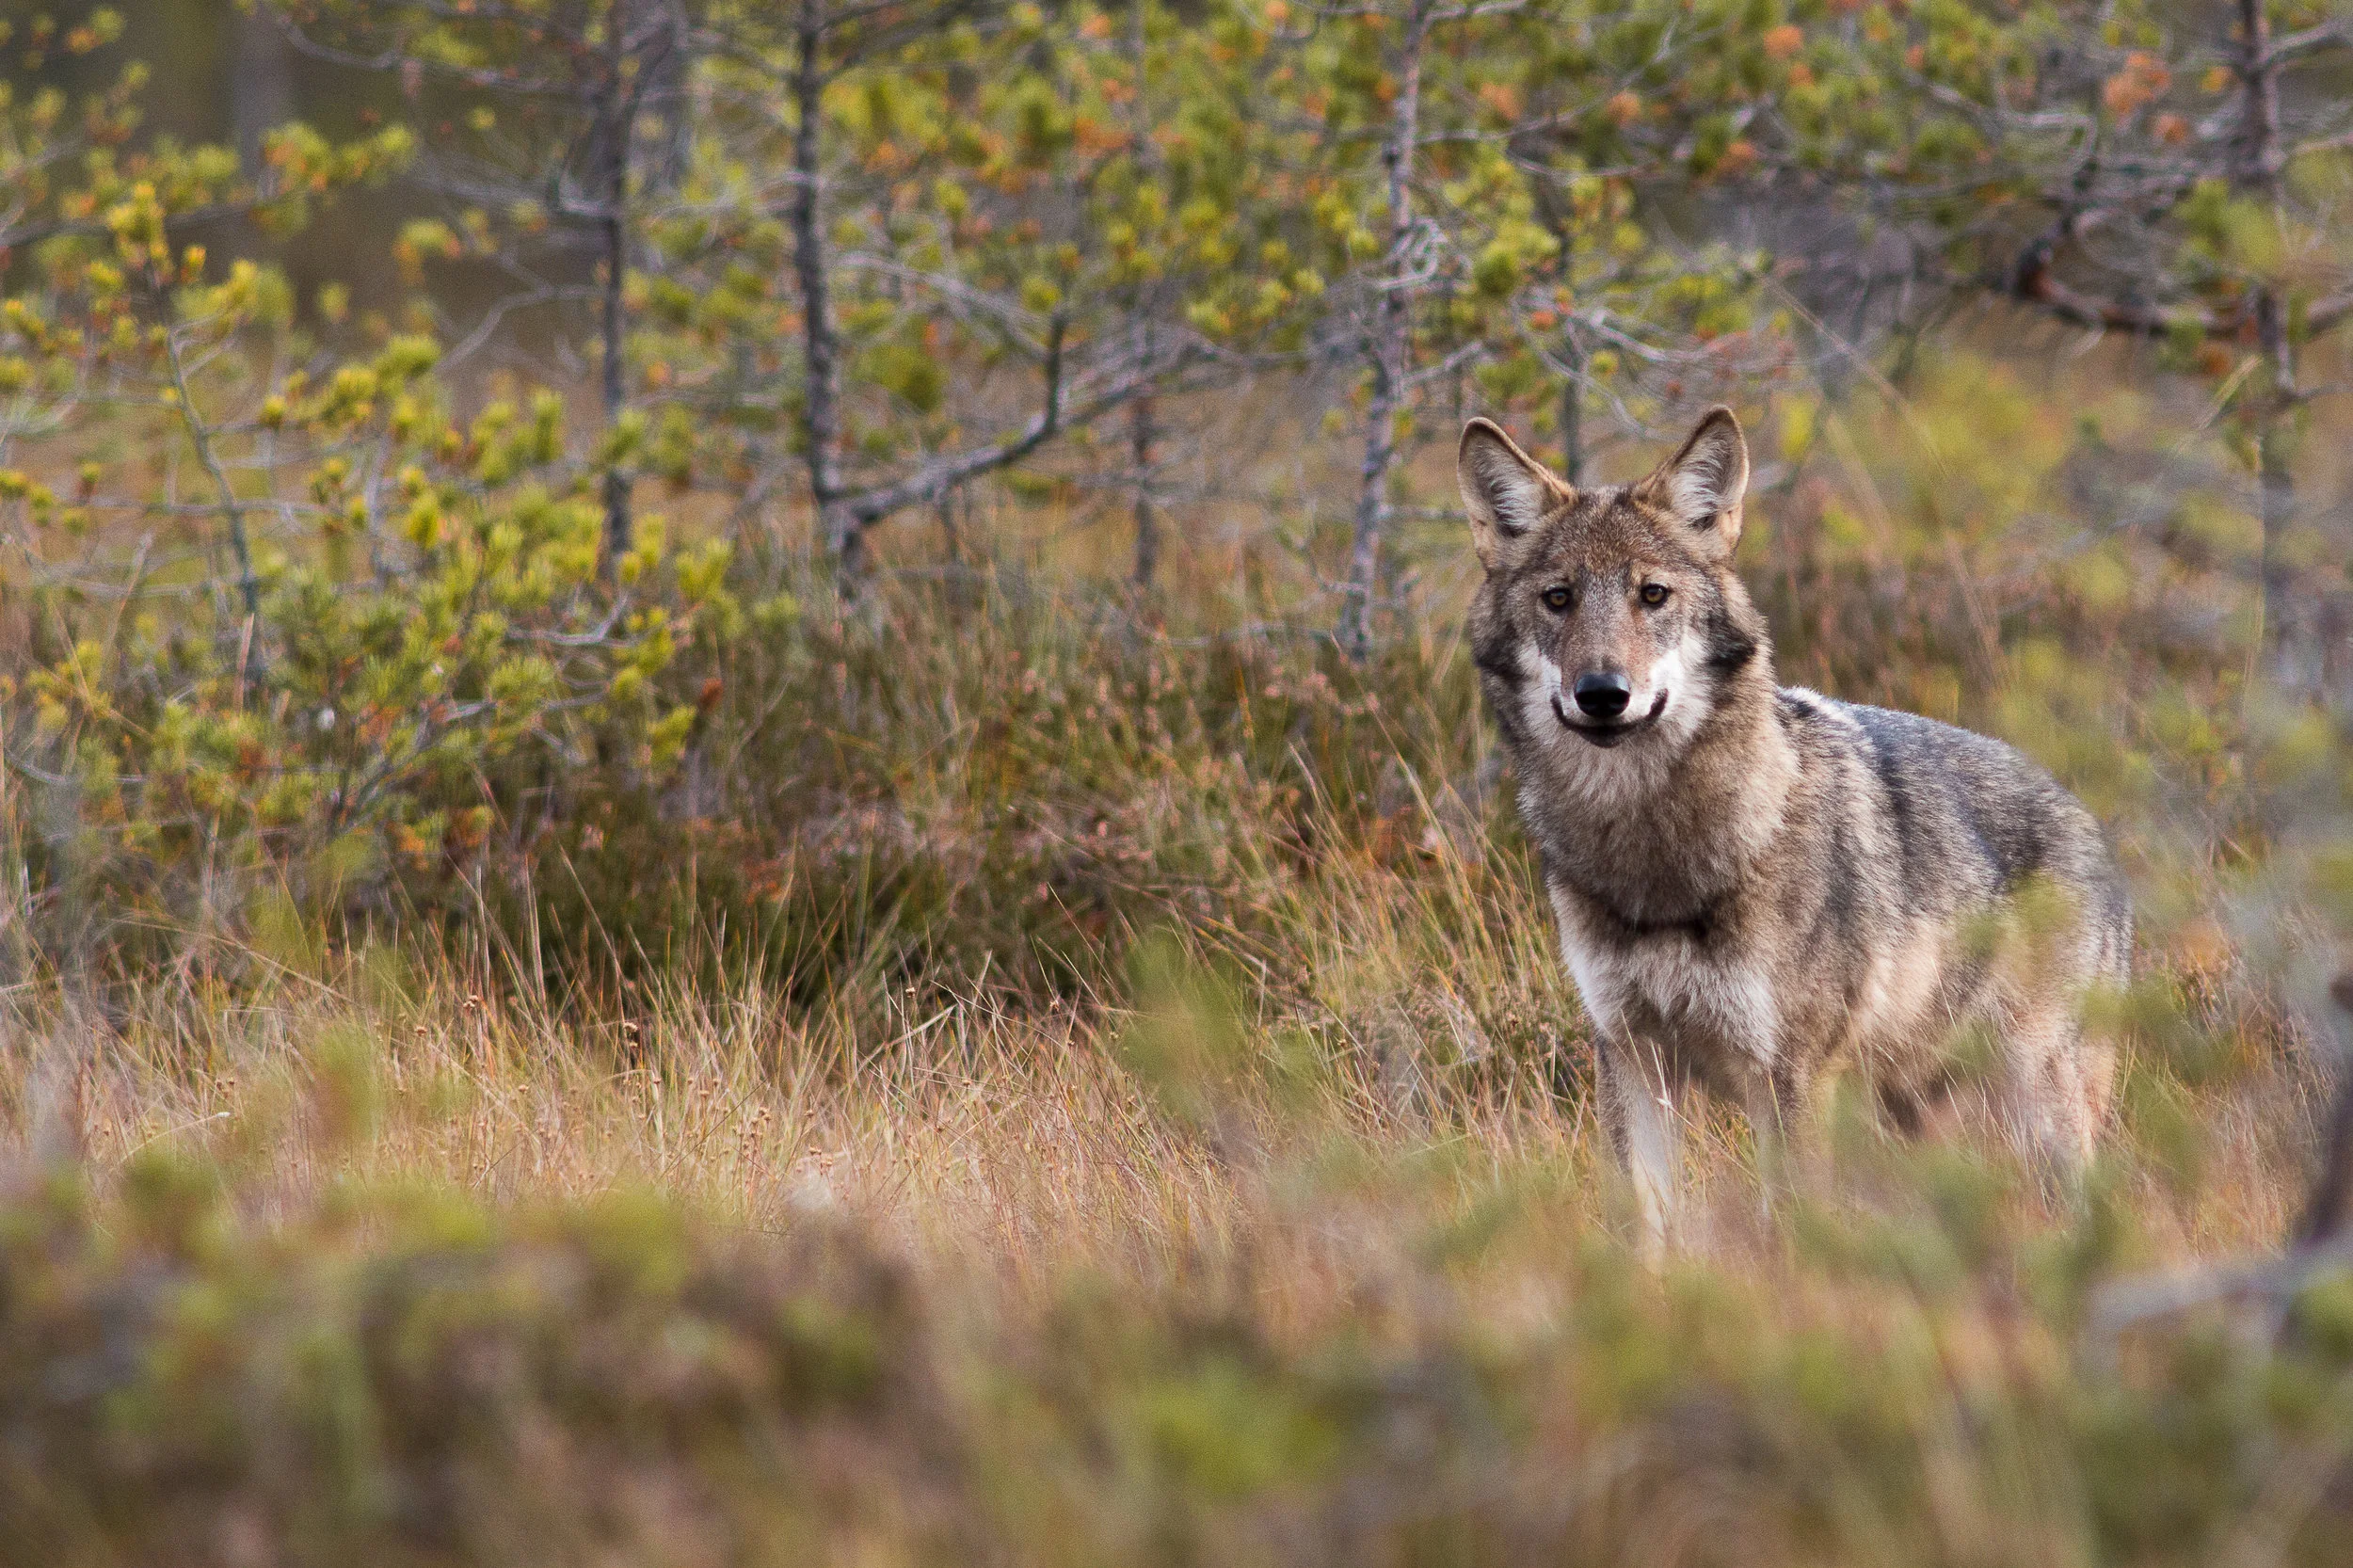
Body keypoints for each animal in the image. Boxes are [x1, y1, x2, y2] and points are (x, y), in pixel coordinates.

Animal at [1457, 407, 2131, 1243]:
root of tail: (2088, 819)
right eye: (1559, 598)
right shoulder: (1632, 1060)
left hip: (2035, 1108)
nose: (1603, 693)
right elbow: (1644, 1233)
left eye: (1652, 595)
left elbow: (1788, 1233)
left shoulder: (1789, 1076)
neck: (1658, 863)